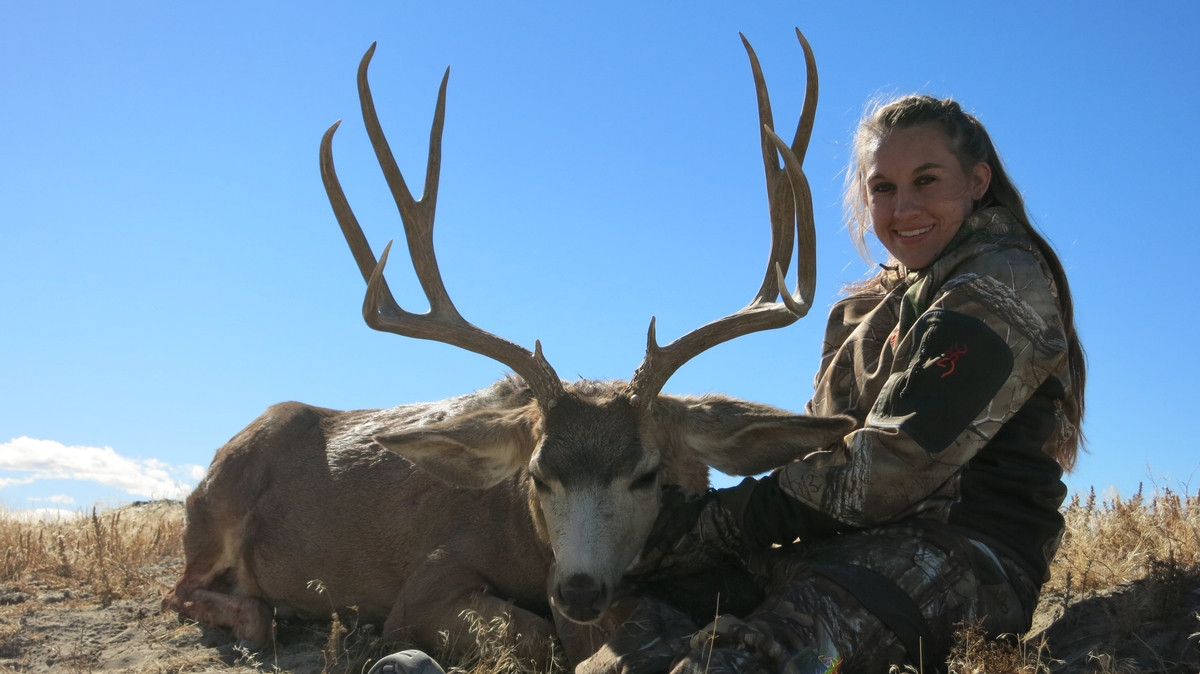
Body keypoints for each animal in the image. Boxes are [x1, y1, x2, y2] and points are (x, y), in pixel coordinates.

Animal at [163, 28, 850, 668]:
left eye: (646, 475)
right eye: (539, 474)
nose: (578, 589)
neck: (522, 530)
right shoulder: (426, 582)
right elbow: (534, 639)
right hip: (213, 516)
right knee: (186, 591)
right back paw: (260, 617)